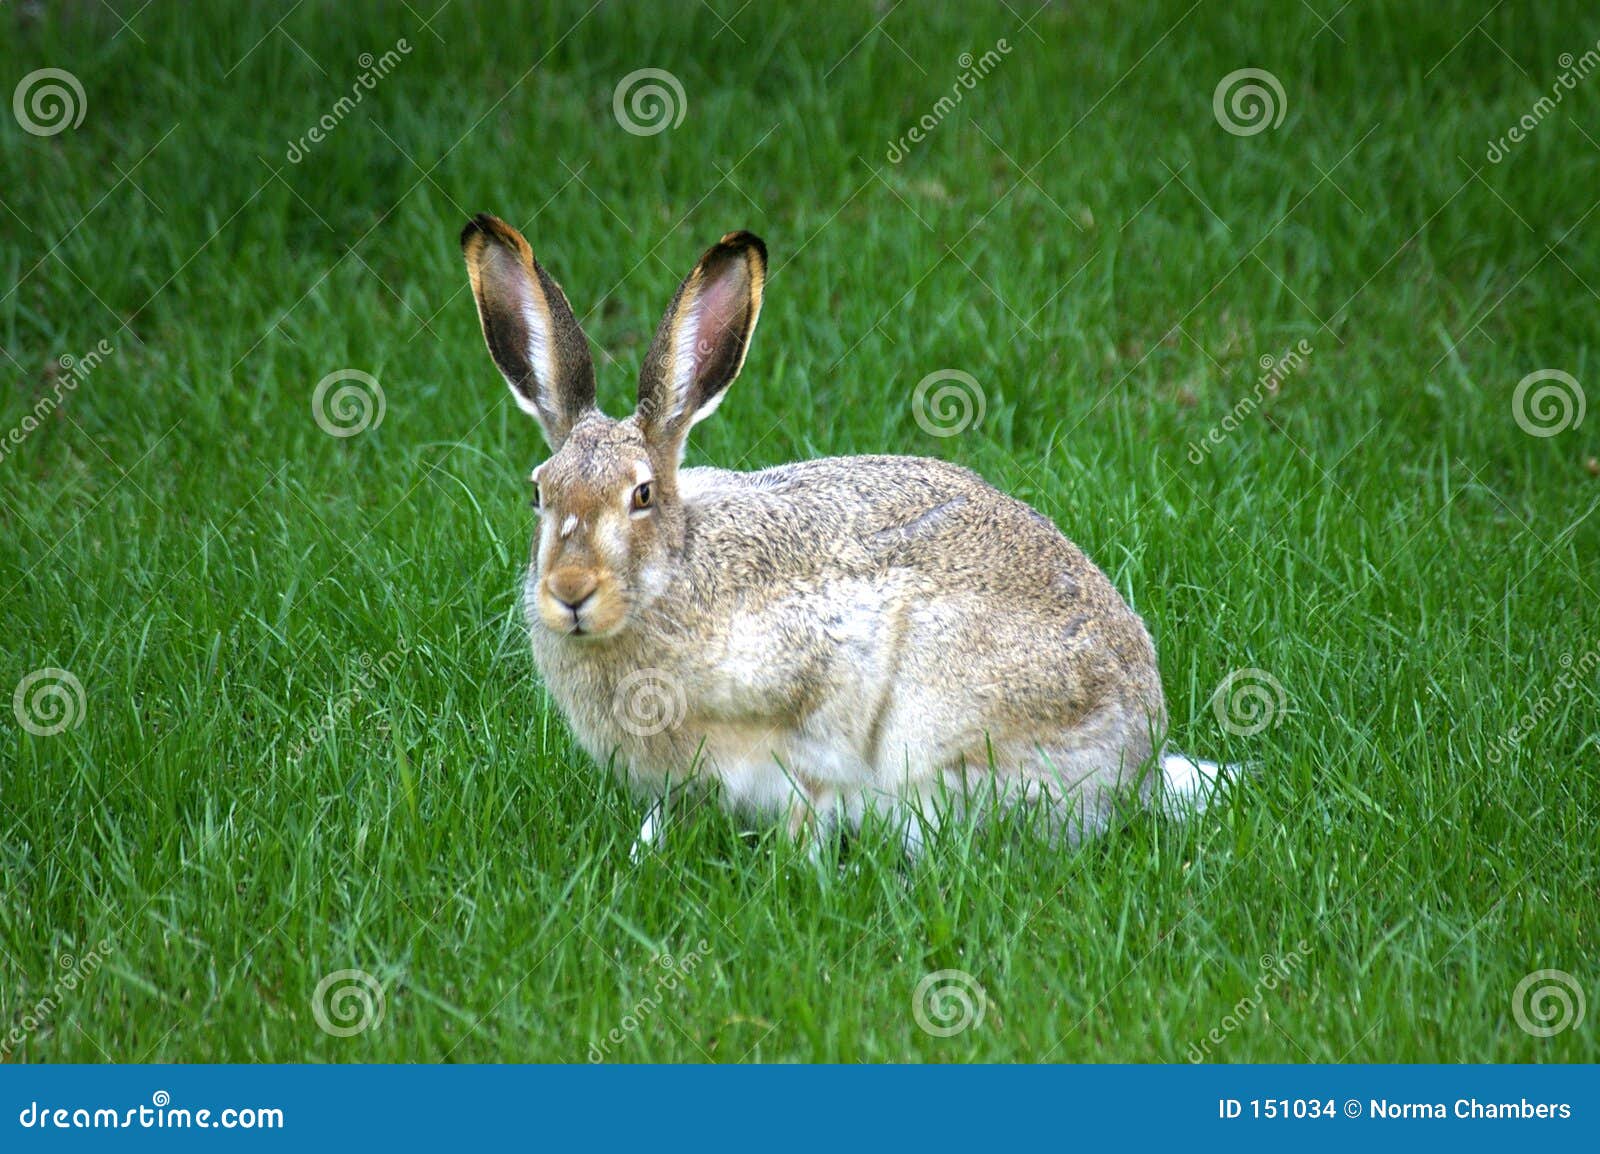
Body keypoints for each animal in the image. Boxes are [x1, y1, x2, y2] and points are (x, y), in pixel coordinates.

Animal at [459, 213, 1224, 859]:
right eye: (538, 492)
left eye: (641, 496)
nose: (569, 592)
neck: (676, 573)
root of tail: (1138, 760)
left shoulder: (810, 702)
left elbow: (812, 794)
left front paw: (795, 865)